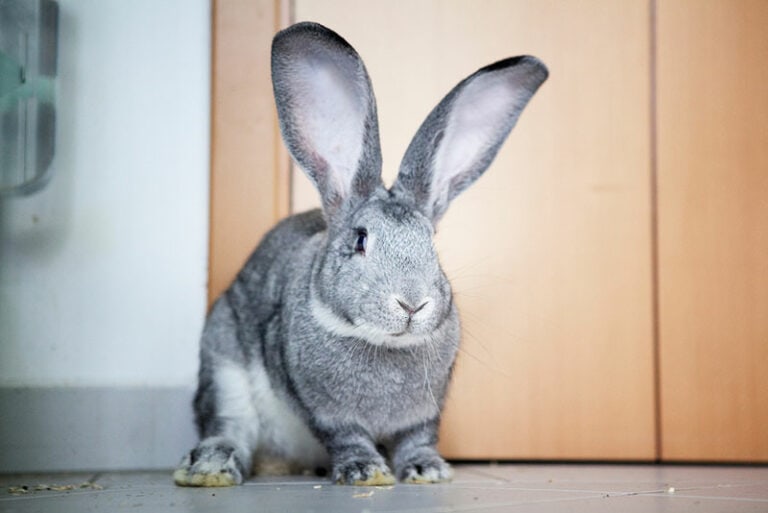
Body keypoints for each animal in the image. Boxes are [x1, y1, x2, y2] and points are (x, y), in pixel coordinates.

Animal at [174, 21, 548, 487]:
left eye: (431, 243)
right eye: (360, 241)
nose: (412, 303)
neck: (383, 343)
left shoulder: (425, 413)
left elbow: (417, 439)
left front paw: (428, 471)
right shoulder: (326, 411)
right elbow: (347, 437)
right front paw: (366, 473)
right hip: (224, 365)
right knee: (228, 426)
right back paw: (210, 467)